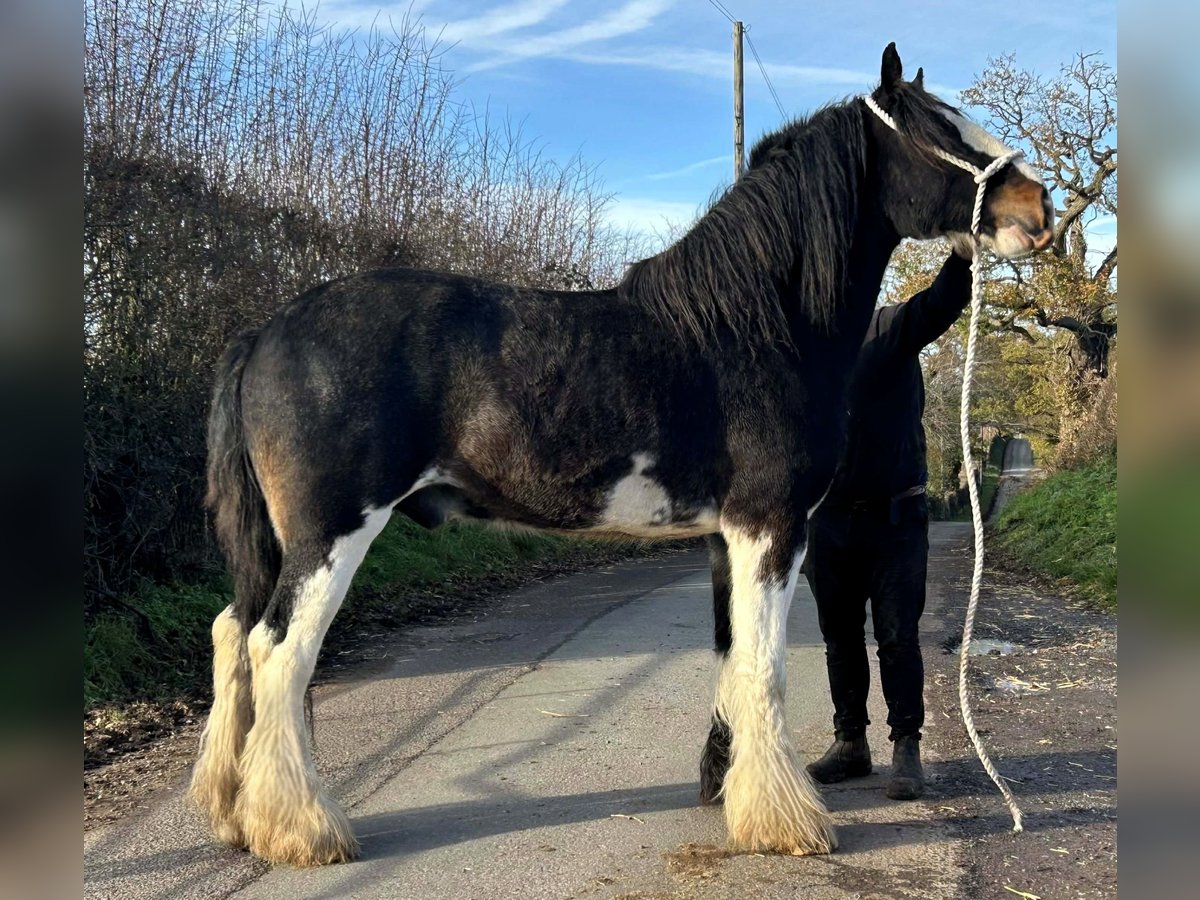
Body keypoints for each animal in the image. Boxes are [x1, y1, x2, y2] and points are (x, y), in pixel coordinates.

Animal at [189, 43, 1053, 867]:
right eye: (940, 131)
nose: (1039, 208)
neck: (757, 326)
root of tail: (267, 331)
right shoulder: (770, 528)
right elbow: (766, 667)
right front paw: (785, 823)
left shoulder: (724, 537)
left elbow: (731, 658)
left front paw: (724, 786)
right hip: (331, 534)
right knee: (277, 652)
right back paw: (303, 830)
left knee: (232, 632)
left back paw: (234, 815)